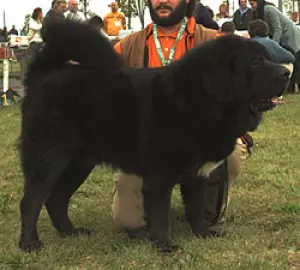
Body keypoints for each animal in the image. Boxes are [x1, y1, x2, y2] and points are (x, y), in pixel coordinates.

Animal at [18, 20, 288, 251]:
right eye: (255, 62)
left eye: (268, 58)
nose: (286, 72)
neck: (201, 99)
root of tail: (44, 72)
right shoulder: (160, 174)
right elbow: (160, 213)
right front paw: (164, 245)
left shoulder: (196, 174)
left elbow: (196, 208)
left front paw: (202, 233)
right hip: (49, 159)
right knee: (32, 200)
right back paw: (29, 243)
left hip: (79, 163)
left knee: (56, 199)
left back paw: (70, 232)